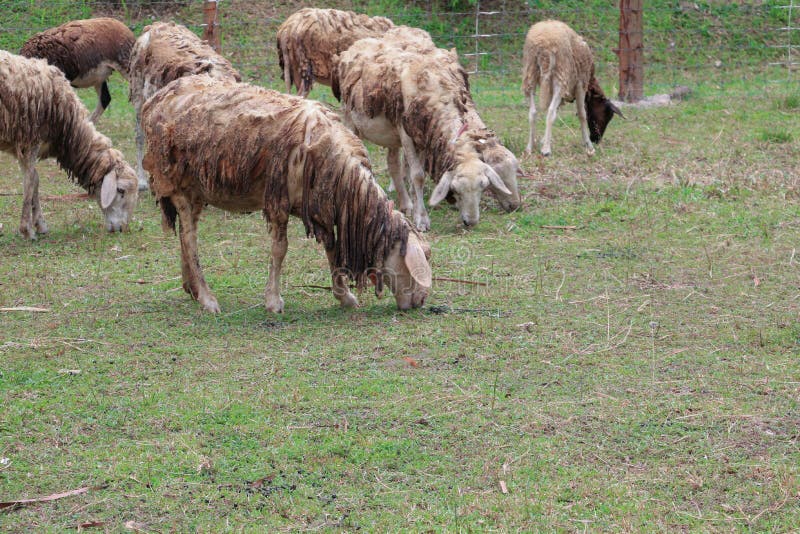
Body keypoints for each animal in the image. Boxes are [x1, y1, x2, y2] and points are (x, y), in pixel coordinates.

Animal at [0, 50, 138, 239]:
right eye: (121, 190)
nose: (122, 228)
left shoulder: (22, 147)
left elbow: (34, 179)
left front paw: (40, 224)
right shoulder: (31, 141)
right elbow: (29, 183)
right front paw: (27, 230)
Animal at [141, 75, 432, 314]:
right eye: (409, 262)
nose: (420, 301)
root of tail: (156, 100)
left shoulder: (321, 206)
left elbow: (332, 249)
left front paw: (344, 296)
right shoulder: (278, 202)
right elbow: (280, 250)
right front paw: (273, 301)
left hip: (197, 189)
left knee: (184, 234)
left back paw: (190, 287)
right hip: (175, 183)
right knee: (189, 239)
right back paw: (206, 298)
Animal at [334, 38, 511, 230]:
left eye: (483, 186)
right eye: (455, 188)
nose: (470, 222)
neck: (439, 95)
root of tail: (358, 43)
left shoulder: (427, 138)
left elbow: (415, 175)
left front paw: (415, 207)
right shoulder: (406, 133)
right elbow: (418, 175)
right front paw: (422, 218)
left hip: (391, 134)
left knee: (393, 164)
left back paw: (406, 203)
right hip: (350, 118)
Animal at [522, 20, 623, 156]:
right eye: (608, 116)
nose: (596, 139)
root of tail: (543, 44)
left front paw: (543, 140)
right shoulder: (580, 84)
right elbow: (582, 114)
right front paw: (589, 146)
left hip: (530, 72)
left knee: (533, 112)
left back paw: (529, 148)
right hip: (560, 75)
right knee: (550, 112)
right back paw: (546, 150)